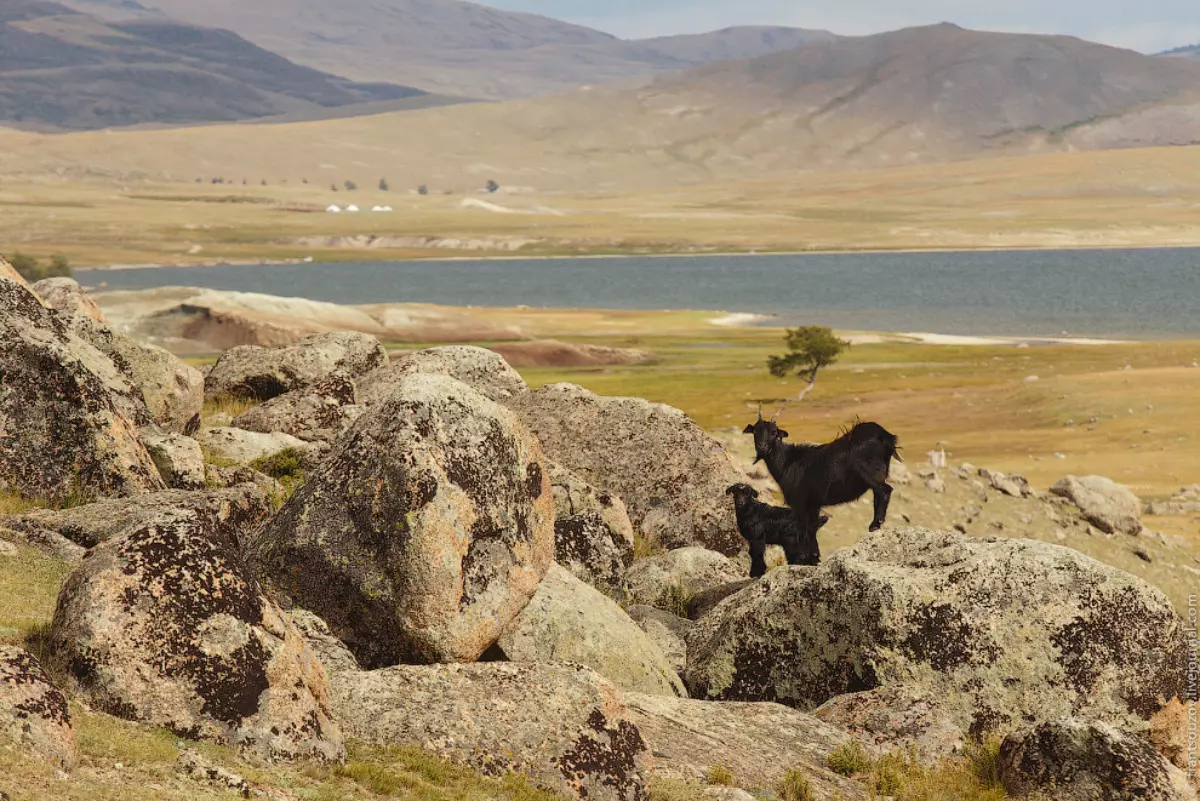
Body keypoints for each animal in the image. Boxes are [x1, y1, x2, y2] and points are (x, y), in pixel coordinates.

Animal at [739, 410, 902, 546]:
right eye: (755, 431)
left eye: (774, 432)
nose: (762, 447)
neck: (787, 461)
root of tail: (885, 437)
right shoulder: (814, 504)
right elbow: (811, 530)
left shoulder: (799, 502)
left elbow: (803, 532)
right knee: (878, 493)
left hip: (870, 472)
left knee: (885, 490)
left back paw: (875, 524)